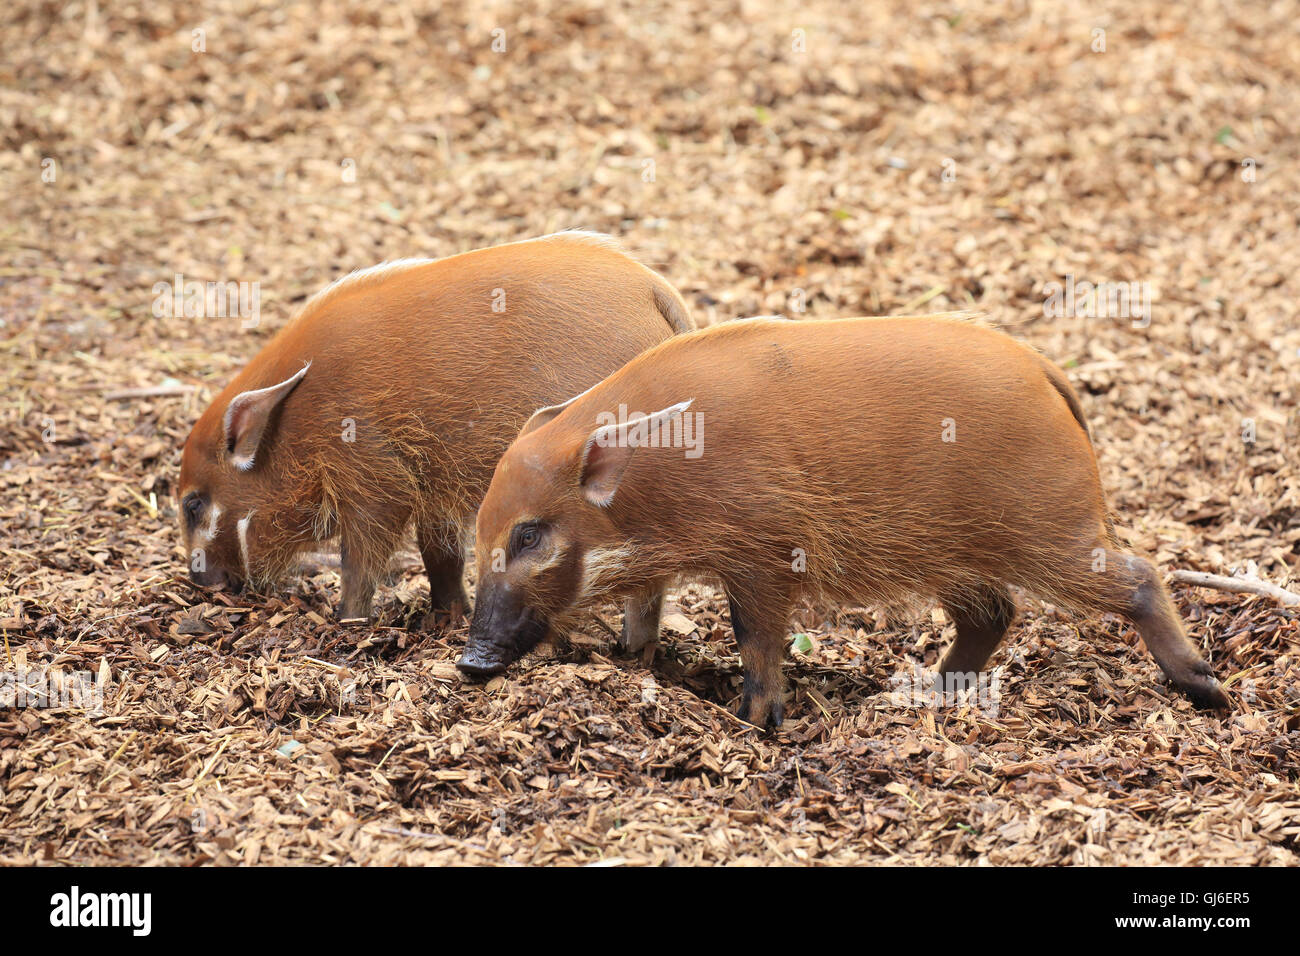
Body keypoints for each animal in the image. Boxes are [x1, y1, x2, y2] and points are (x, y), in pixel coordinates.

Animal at [177, 232, 693, 626]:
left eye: (193, 504)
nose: (199, 583)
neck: (296, 422)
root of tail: (655, 290)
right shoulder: (433, 486)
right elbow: (439, 554)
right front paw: (449, 617)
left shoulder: (374, 476)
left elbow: (359, 559)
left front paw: (348, 623)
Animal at [458, 315, 1231, 728]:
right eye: (483, 534)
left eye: (529, 534)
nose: (469, 663)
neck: (657, 483)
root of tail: (1048, 373)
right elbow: (646, 617)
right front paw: (632, 660)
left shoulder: (761, 555)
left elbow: (756, 637)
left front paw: (754, 722)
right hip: (954, 555)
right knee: (994, 615)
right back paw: (920, 691)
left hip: (1051, 530)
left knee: (1139, 576)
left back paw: (1207, 691)